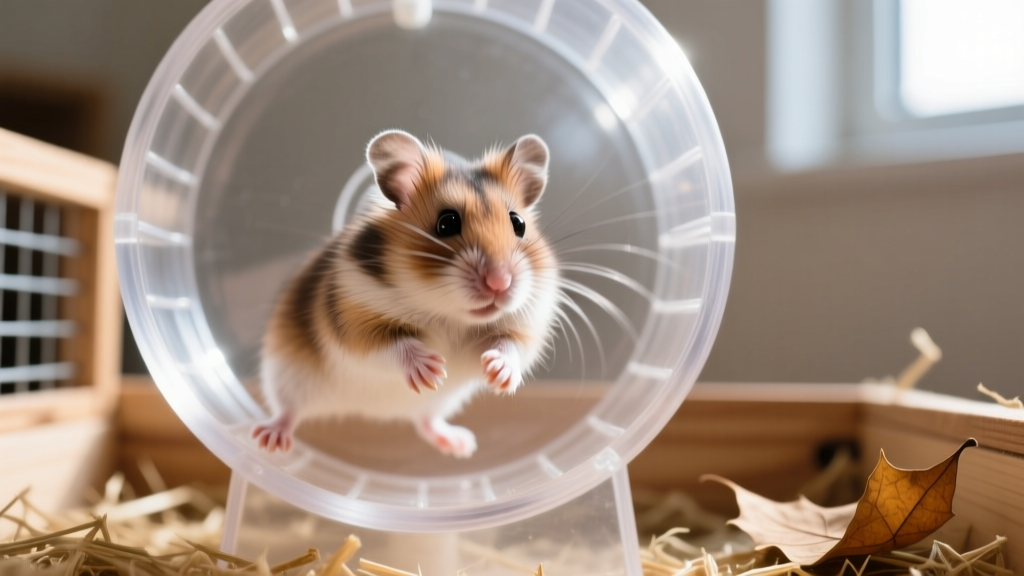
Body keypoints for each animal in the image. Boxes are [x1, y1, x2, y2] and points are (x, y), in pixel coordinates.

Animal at [251, 130, 560, 458]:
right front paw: (431, 370)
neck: (448, 313)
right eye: (446, 223)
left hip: (438, 403)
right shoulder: (354, 319)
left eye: (518, 223)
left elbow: (511, 347)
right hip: (286, 378)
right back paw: (269, 440)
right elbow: (392, 345)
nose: (499, 283)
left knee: (425, 422)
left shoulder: (524, 326)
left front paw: (498, 375)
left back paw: (460, 445)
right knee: (287, 411)